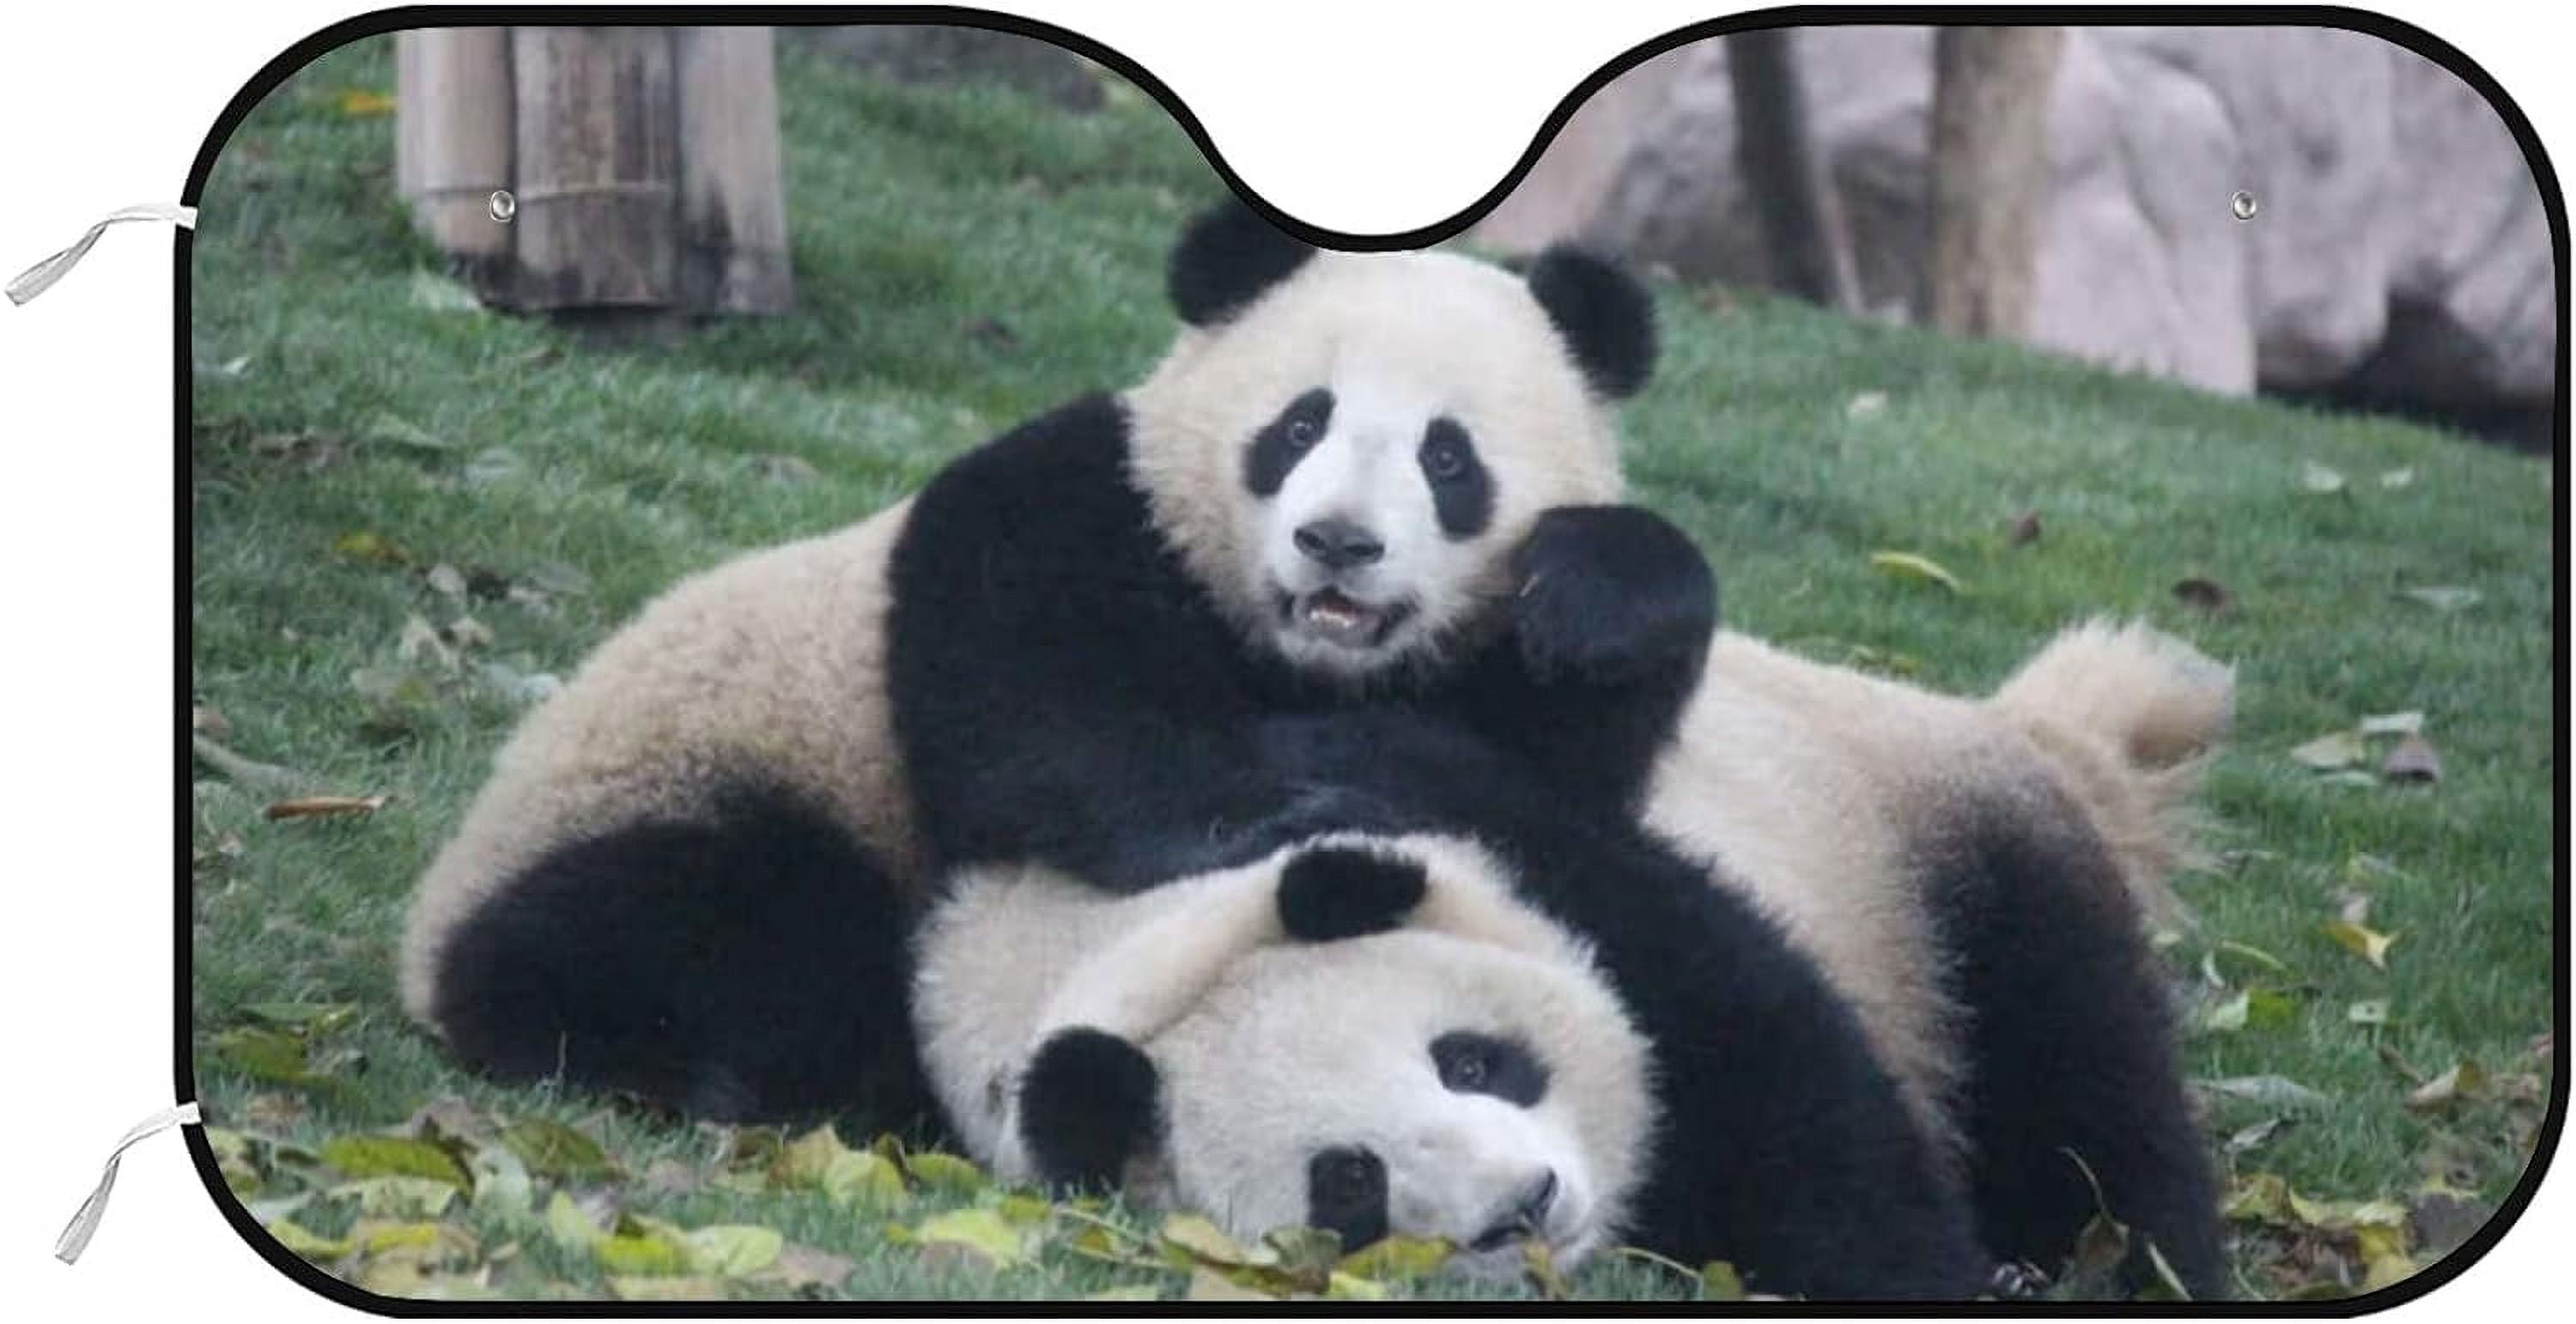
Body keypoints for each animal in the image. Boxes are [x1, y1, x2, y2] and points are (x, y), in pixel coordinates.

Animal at [397, 199, 1712, 1126]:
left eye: (1449, 458)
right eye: (1300, 424)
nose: (1338, 541)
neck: (1299, 661)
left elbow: (1548, 782)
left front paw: (1601, 598)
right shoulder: (1082, 502)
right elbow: (1043, 723)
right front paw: (1281, 813)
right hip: (700, 776)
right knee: (709, 916)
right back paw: (691, 1058)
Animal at [912, 620, 2233, 1300]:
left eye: (1472, 1061)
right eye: (1347, 1181)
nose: (1525, 1206)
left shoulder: (1521, 847)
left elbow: (1791, 1096)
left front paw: (1926, 1272)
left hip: (1926, 855)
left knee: (2077, 1071)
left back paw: (2122, 1265)